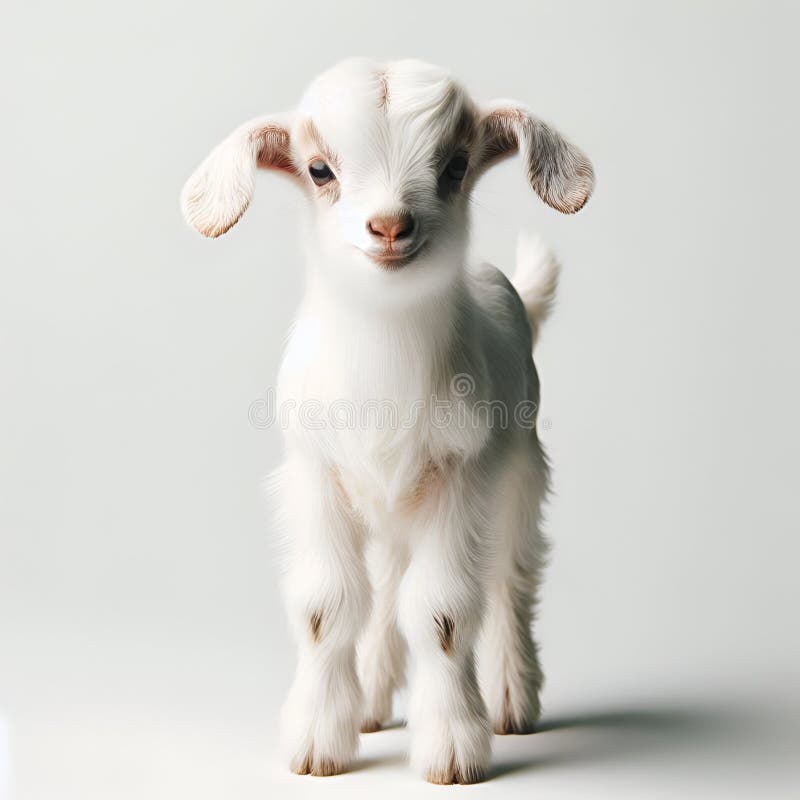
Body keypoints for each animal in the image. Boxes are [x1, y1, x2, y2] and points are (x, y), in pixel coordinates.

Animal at [181, 57, 594, 784]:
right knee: (384, 584)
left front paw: (453, 747)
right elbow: (326, 607)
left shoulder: (459, 475)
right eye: (320, 170)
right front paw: (318, 739)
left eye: (455, 166)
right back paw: (372, 700)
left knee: (510, 578)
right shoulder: (316, 473)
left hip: (519, 470)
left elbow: (442, 613)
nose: (391, 226)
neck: (384, 361)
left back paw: (512, 698)